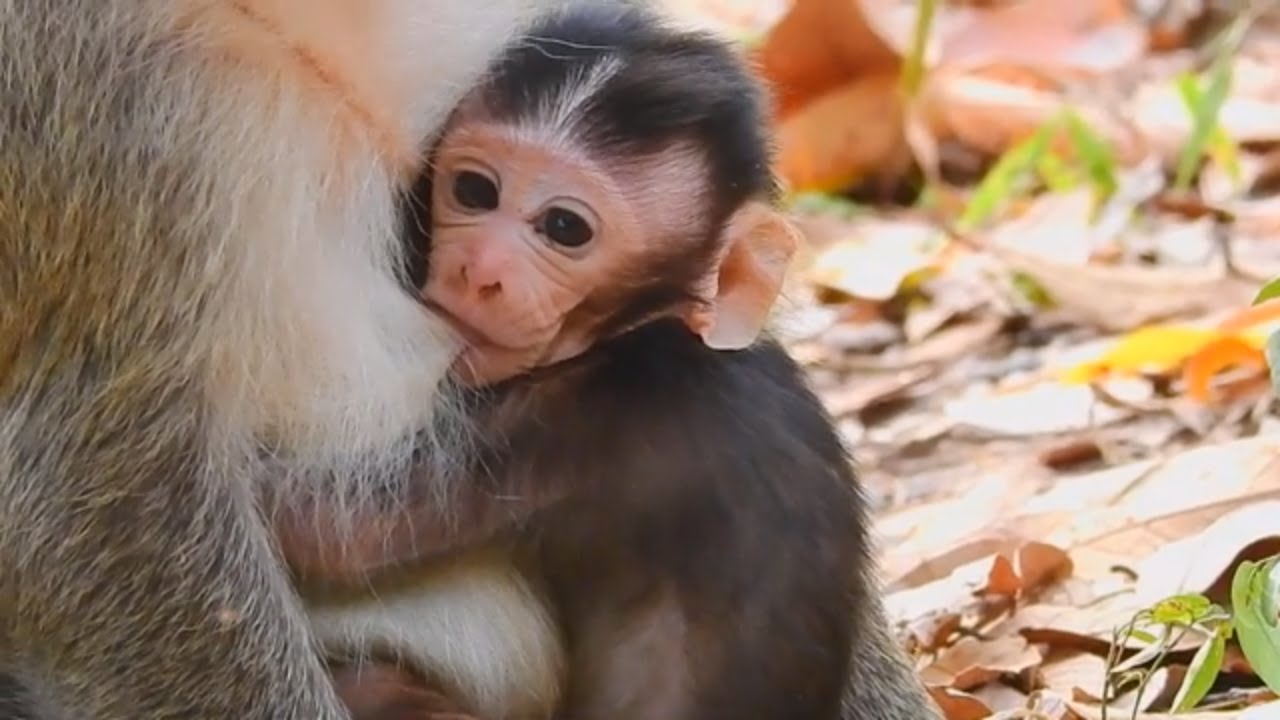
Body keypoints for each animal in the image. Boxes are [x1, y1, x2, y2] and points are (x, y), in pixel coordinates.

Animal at [276, 5, 942, 720]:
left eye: (565, 228)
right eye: (475, 190)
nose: (477, 272)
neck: (649, 328)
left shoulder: (592, 414)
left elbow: (328, 532)